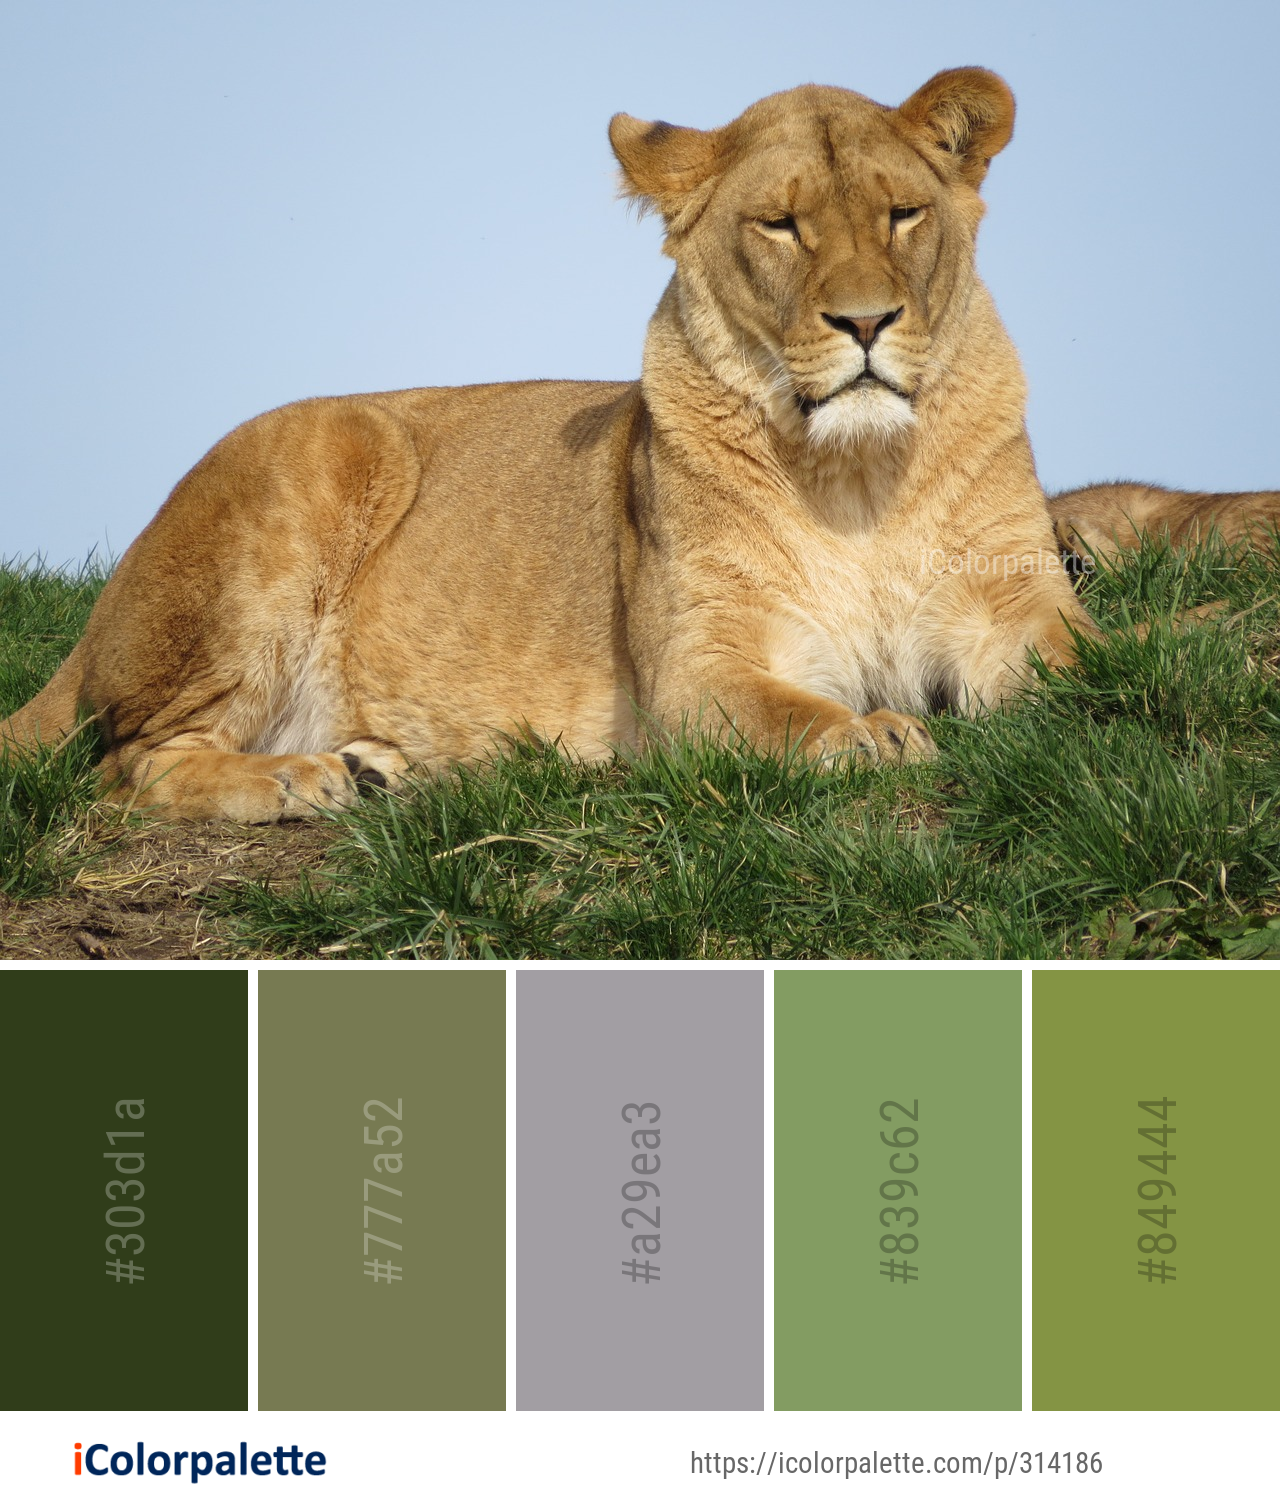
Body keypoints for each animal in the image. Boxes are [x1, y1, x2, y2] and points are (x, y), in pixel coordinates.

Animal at [3, 68, 1274, 821]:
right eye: (780, 224)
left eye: (901, 212)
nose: (865, 323)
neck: (856, 475)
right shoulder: (696, 674)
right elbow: (800, 717)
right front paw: (874, 736)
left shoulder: (1011, 608)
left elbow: (1095, 663)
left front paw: (1178, 669)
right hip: (312, 464)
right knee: (127, 761)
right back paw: (302, 779)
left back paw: (366, 762)